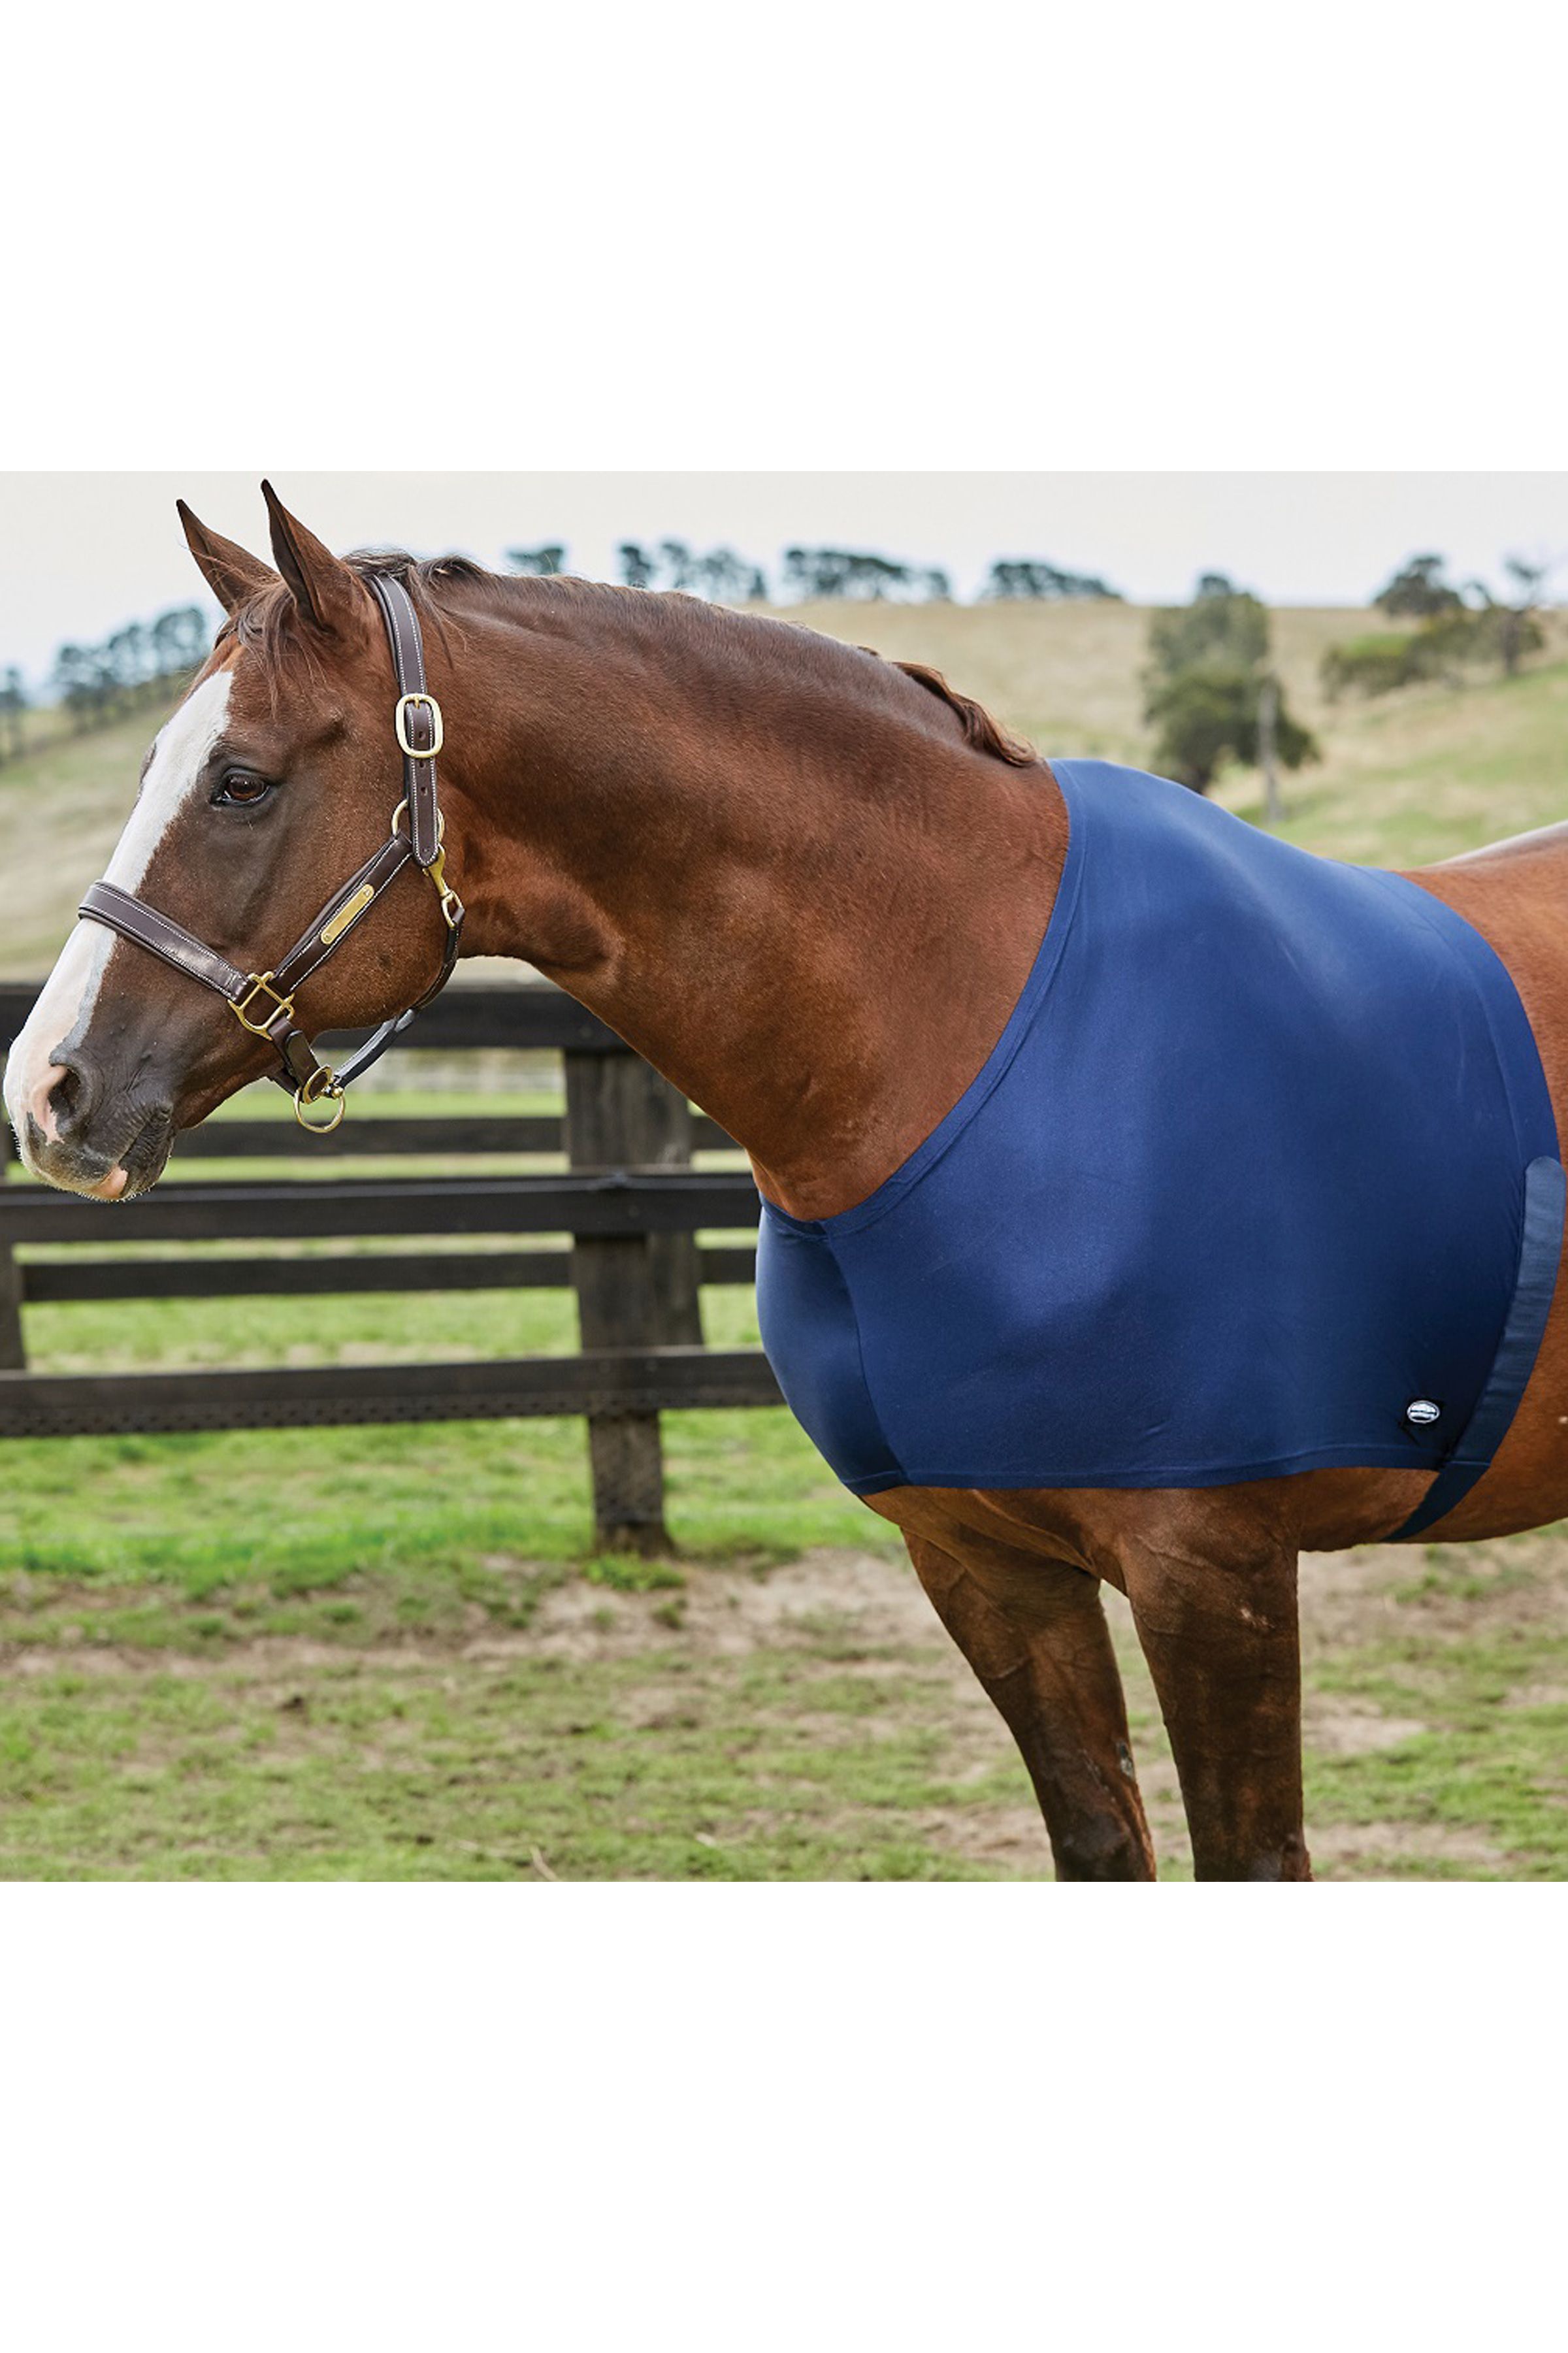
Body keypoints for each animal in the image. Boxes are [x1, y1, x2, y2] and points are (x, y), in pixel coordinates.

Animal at [8, 483, 1568, 1882]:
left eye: (243, 781)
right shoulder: (988, 1568)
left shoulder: (1216, 1578)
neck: (977, 1026)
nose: (48, 1090)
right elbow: (1096, 1841)